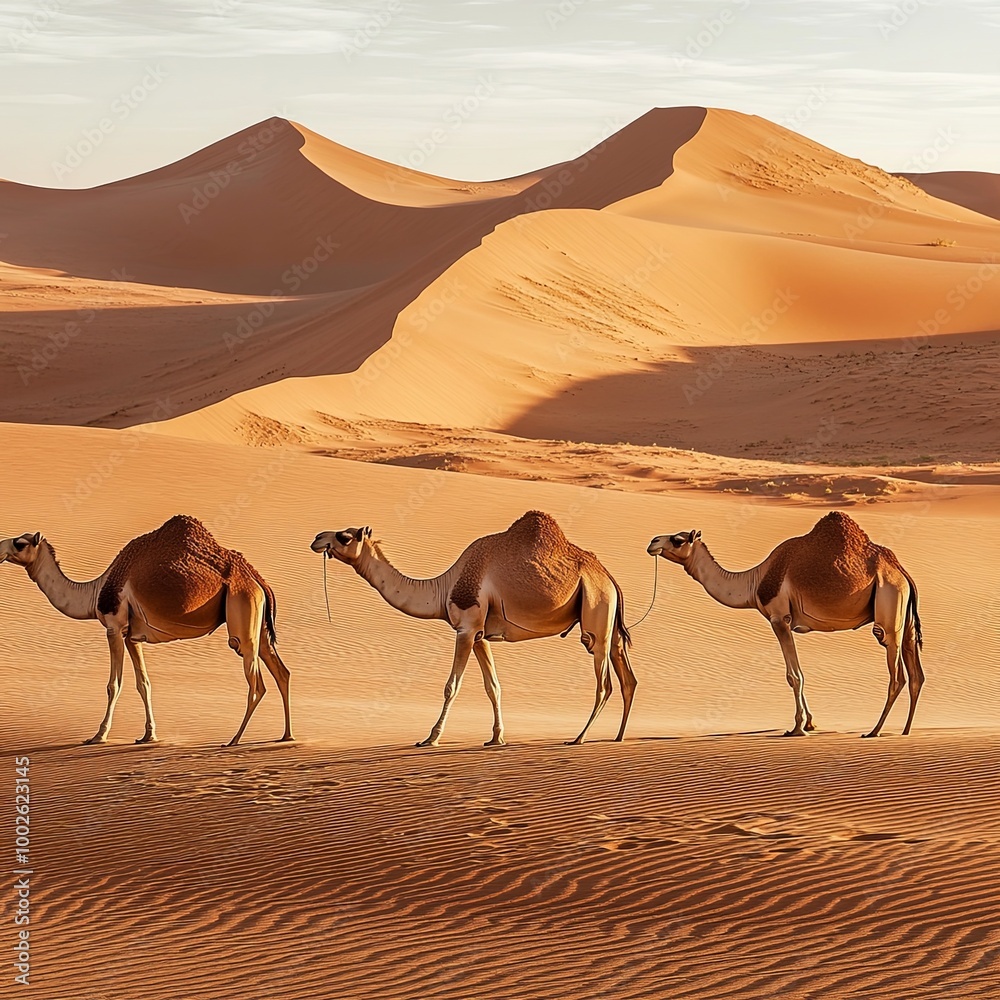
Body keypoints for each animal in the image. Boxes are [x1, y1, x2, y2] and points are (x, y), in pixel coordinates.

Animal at [0, 514, 292, 747]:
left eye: (20, 542)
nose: (0, 549)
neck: (95, 591)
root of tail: (257, 578)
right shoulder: (132, 636)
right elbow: (144, 683)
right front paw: (148, 736)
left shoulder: (114, 627)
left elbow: (113, 684)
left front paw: (98, 736)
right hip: (258, 623)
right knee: (281, 672)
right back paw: (285, 736)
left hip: (242, 612)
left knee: (255, 681)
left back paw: (234, 739)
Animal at [311, 510, 635, 747]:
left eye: (344, 535)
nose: (316, 537)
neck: (443, 588)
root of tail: (609, 577)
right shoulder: (481, 635)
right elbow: (493, 686)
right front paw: (496, 738)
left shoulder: (465, 628)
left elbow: (451, 686)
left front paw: (430, 738)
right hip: (608, 620)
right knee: (627, 678)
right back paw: (618, 736)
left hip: (597, 614)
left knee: (604, 683)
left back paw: (579, 737)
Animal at [647, 511, 924, 738]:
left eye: (678, 539)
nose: (652, 542)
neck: (754, 581)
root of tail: (901, 571)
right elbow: (799, 673)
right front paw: (810, 723)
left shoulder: (779, 619)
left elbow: (794, 676)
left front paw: (797, 728)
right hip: (906, 617)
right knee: (916, 674)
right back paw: (906, 730)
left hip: (889, 607)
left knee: (897, 673)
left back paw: (874, 731)